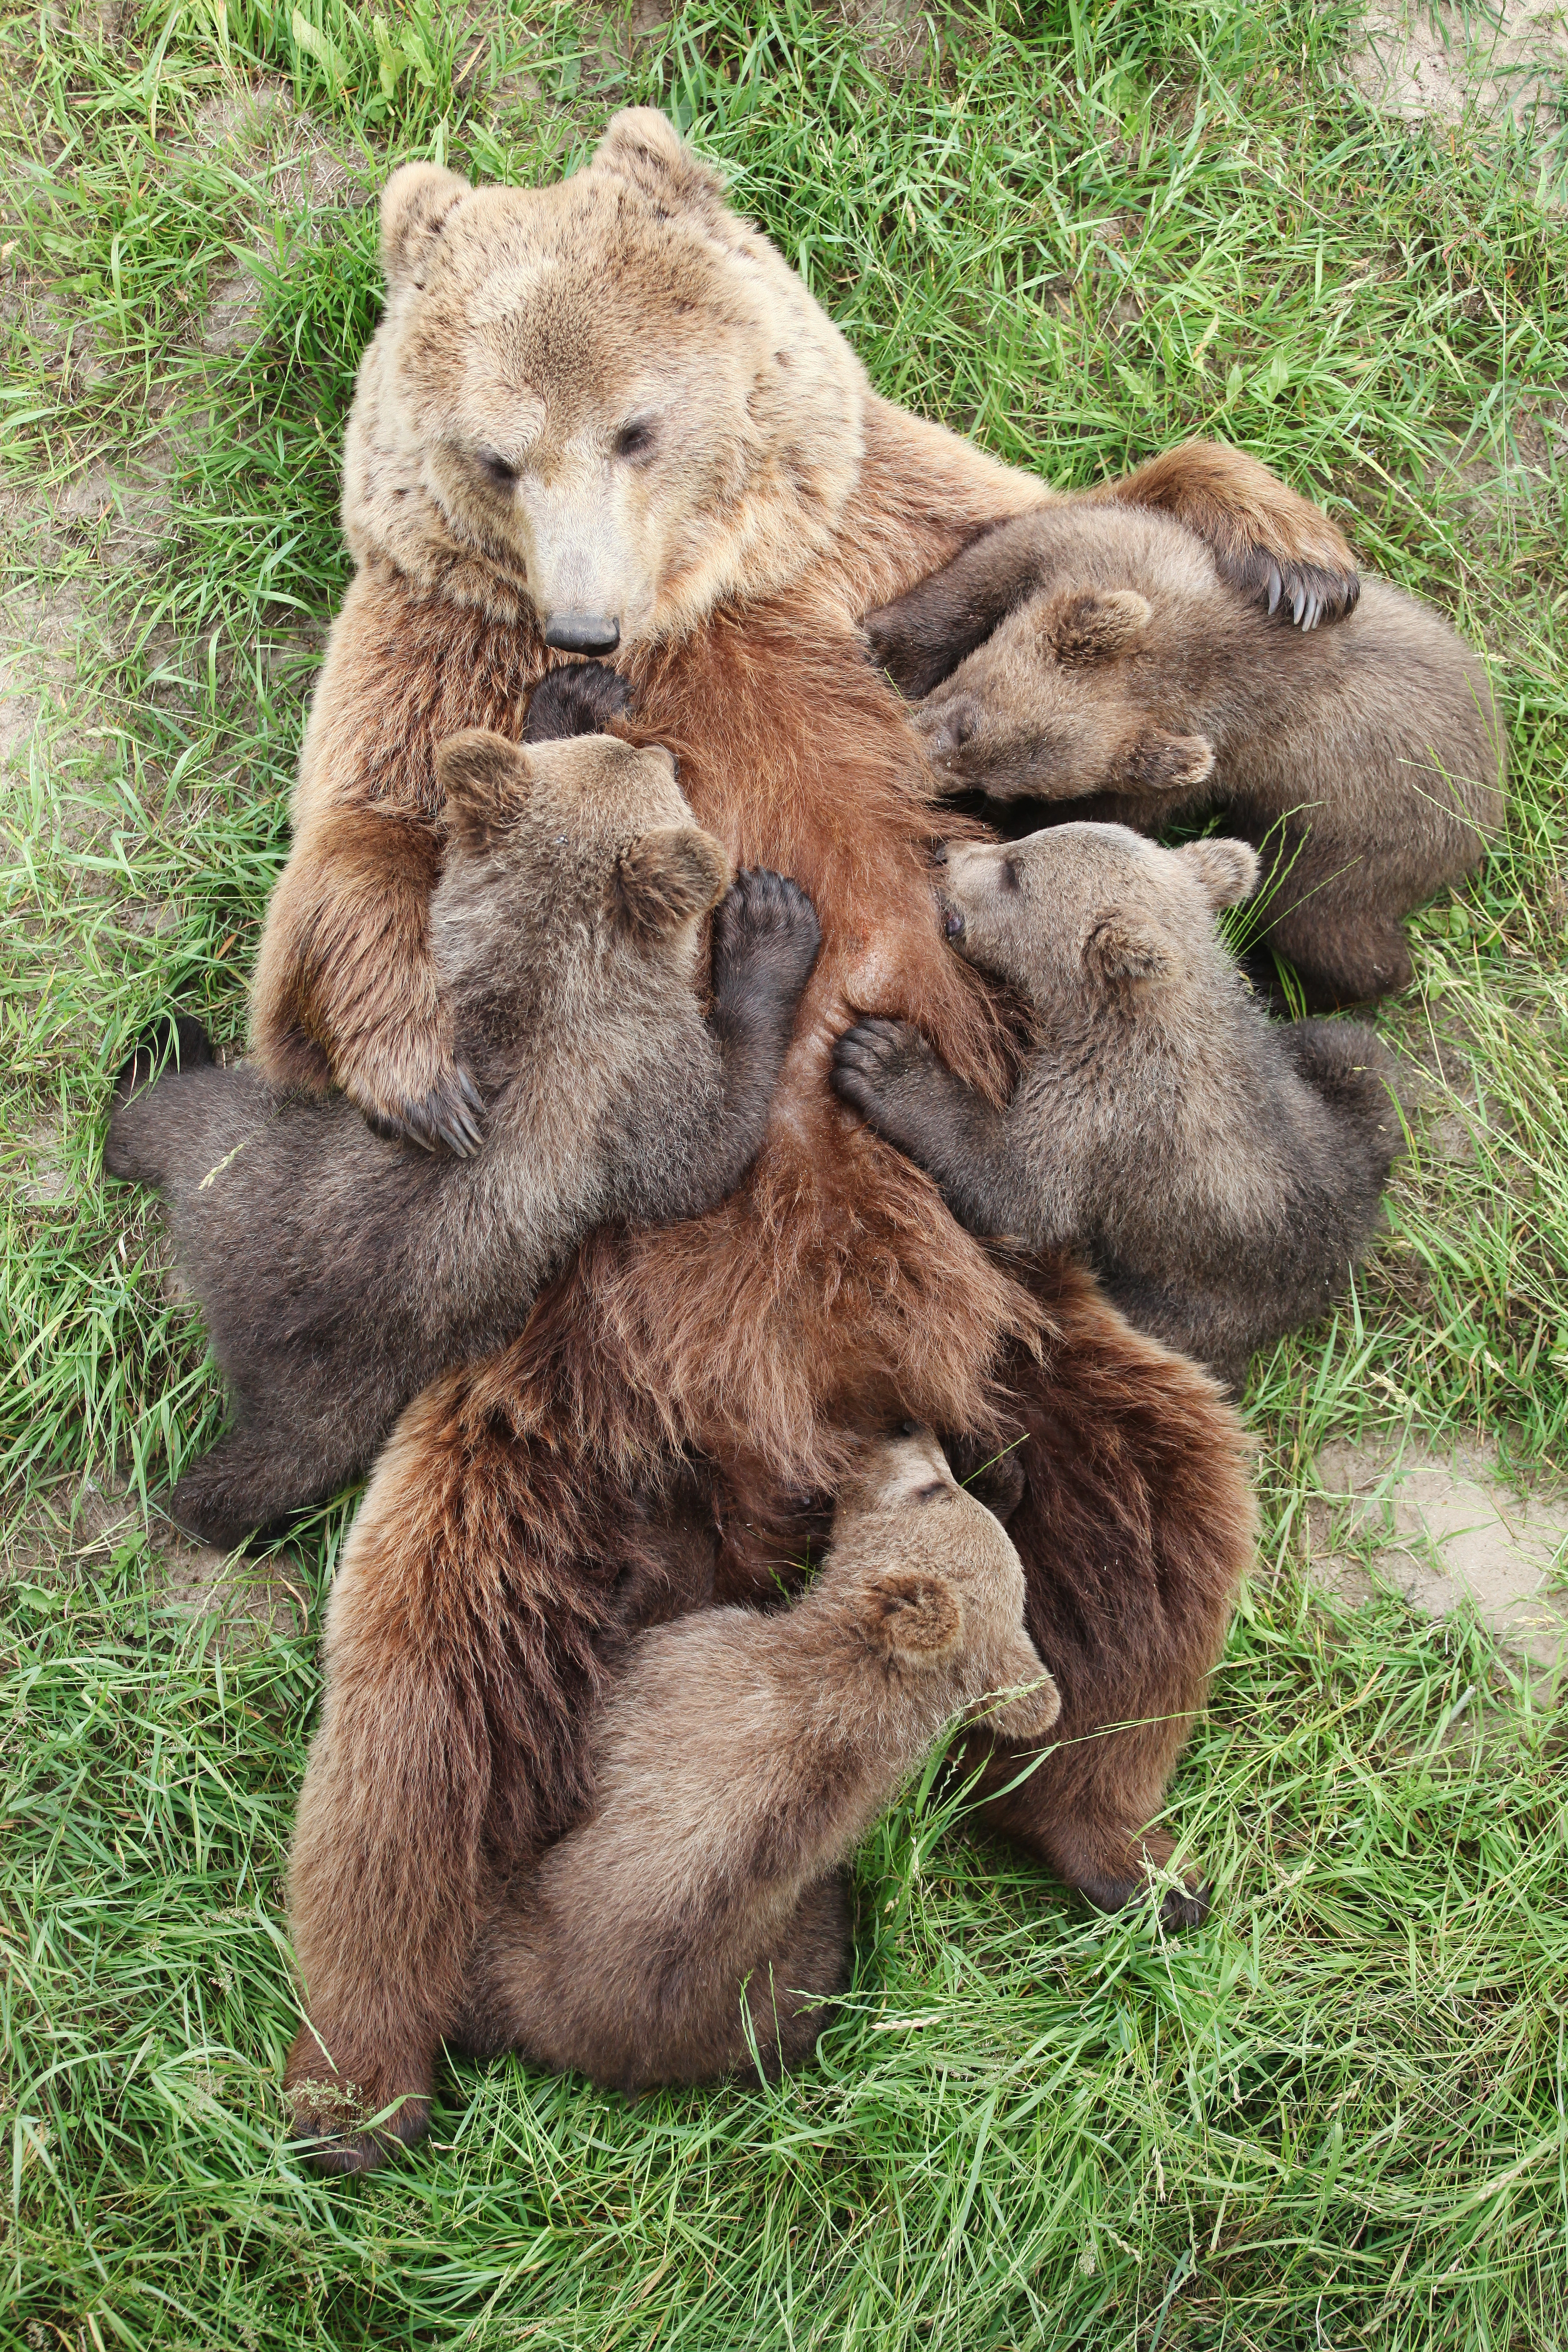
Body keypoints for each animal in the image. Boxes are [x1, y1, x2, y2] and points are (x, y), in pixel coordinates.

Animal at [105, 716, 821, 1549]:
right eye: (658, 777)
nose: (657, 745)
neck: (543, 958)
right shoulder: (634, 1086)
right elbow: (707, 1149)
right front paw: (770, 924)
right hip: (273, 1188)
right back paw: (162, 1046)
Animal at [292, 1427, 1059, 2146]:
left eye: (931, 1491)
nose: (908, 1428)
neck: (855, 1675)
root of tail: (602, 2057)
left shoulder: (679, 1669)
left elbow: (640, 1657)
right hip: (787, 1969)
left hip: (513, 1941)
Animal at [831, 825, 1405, 1393]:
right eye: (1024, 839)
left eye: (1015, 873)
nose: (944, 852)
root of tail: (1347, 1247)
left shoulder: (1106, 1112)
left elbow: (1019, 1193)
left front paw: (883, 1058)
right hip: (1342, 1104)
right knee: (1354, 1053)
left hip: (1206, 1293)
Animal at [861, 500, 1504, 1007]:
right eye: (967, 726)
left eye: (1008, 787)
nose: (915, 770)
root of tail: (1492, 802)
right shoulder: (1094, 550)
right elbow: (981, 577)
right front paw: (886, 645)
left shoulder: (1217, 761)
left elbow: (1117, 817)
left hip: (1358, 837)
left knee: (1327, 922)